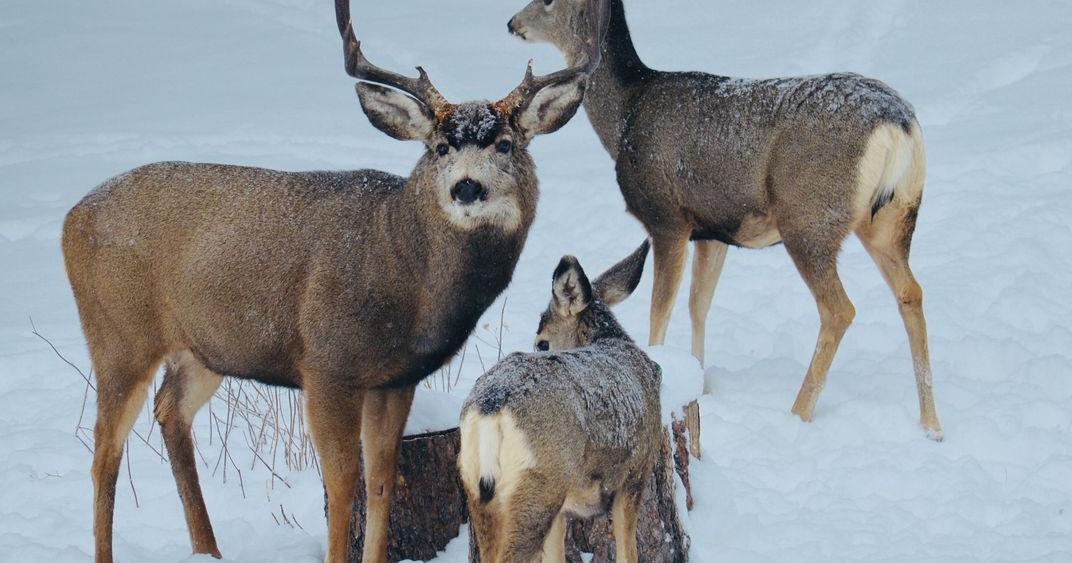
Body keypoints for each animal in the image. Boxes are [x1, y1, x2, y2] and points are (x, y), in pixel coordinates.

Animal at [60, 1, 603, 560]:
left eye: (505, 143)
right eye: (440, 147)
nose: (467, 188)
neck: (405, 273)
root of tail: (71, 219)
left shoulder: (395, 379)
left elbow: (382, 481)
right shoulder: (327, 364)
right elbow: (342, 483)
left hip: (203, 349)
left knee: (169, 412)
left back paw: (207, 549)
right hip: (119, 333)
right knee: (104, 451)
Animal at [459, 241, 661, 563]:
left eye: (542, 342)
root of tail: (492, 406)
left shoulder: (566, 508)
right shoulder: (635, 474)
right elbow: (628, 553)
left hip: (478, 490)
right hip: (537, 489)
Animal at [508, 0, 943, 441]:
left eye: (549, 1)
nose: (512, 23)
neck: (626, 114)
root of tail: (898, 124)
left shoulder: (667, 218)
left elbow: (660, 308)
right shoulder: (712, 231)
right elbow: (698, 303)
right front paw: (700, 381)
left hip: (809, 219)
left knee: (839, 309)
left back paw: (797, 413)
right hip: (894, 215)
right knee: (911, 292)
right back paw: (931, 424)